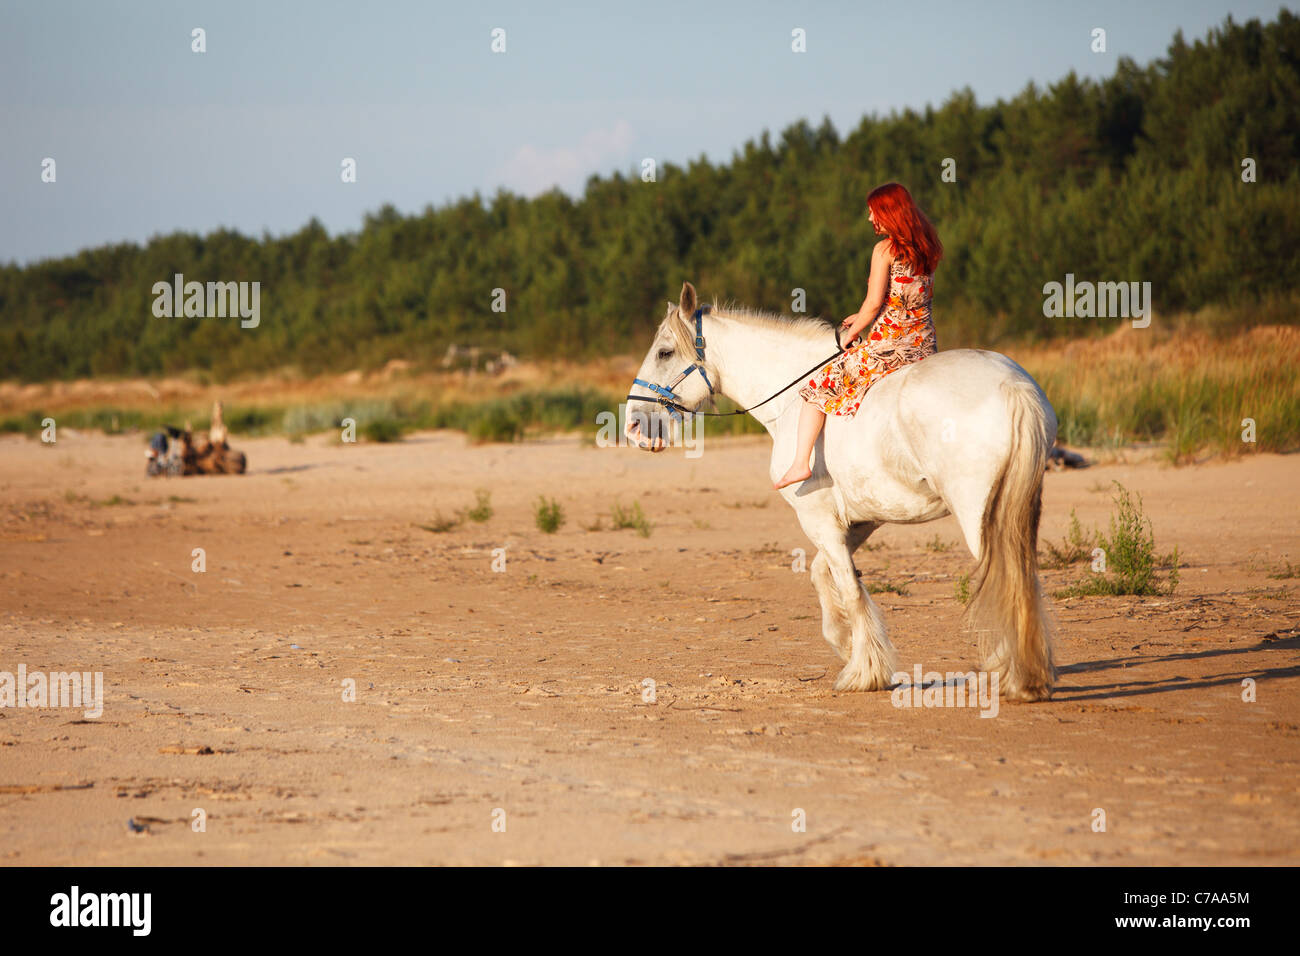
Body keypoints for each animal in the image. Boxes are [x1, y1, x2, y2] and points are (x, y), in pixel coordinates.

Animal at [625, 282, 1057, 701]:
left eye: (665, 351)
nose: (632, 425)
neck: (789, 400)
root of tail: (1011, 384)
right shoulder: (861, 520)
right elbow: (824, 574)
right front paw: (846, 644)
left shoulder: (818, 519)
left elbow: (848, 587)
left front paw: (863, 672)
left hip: (979, 518)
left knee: (1003, 578)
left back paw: (1013, 674)